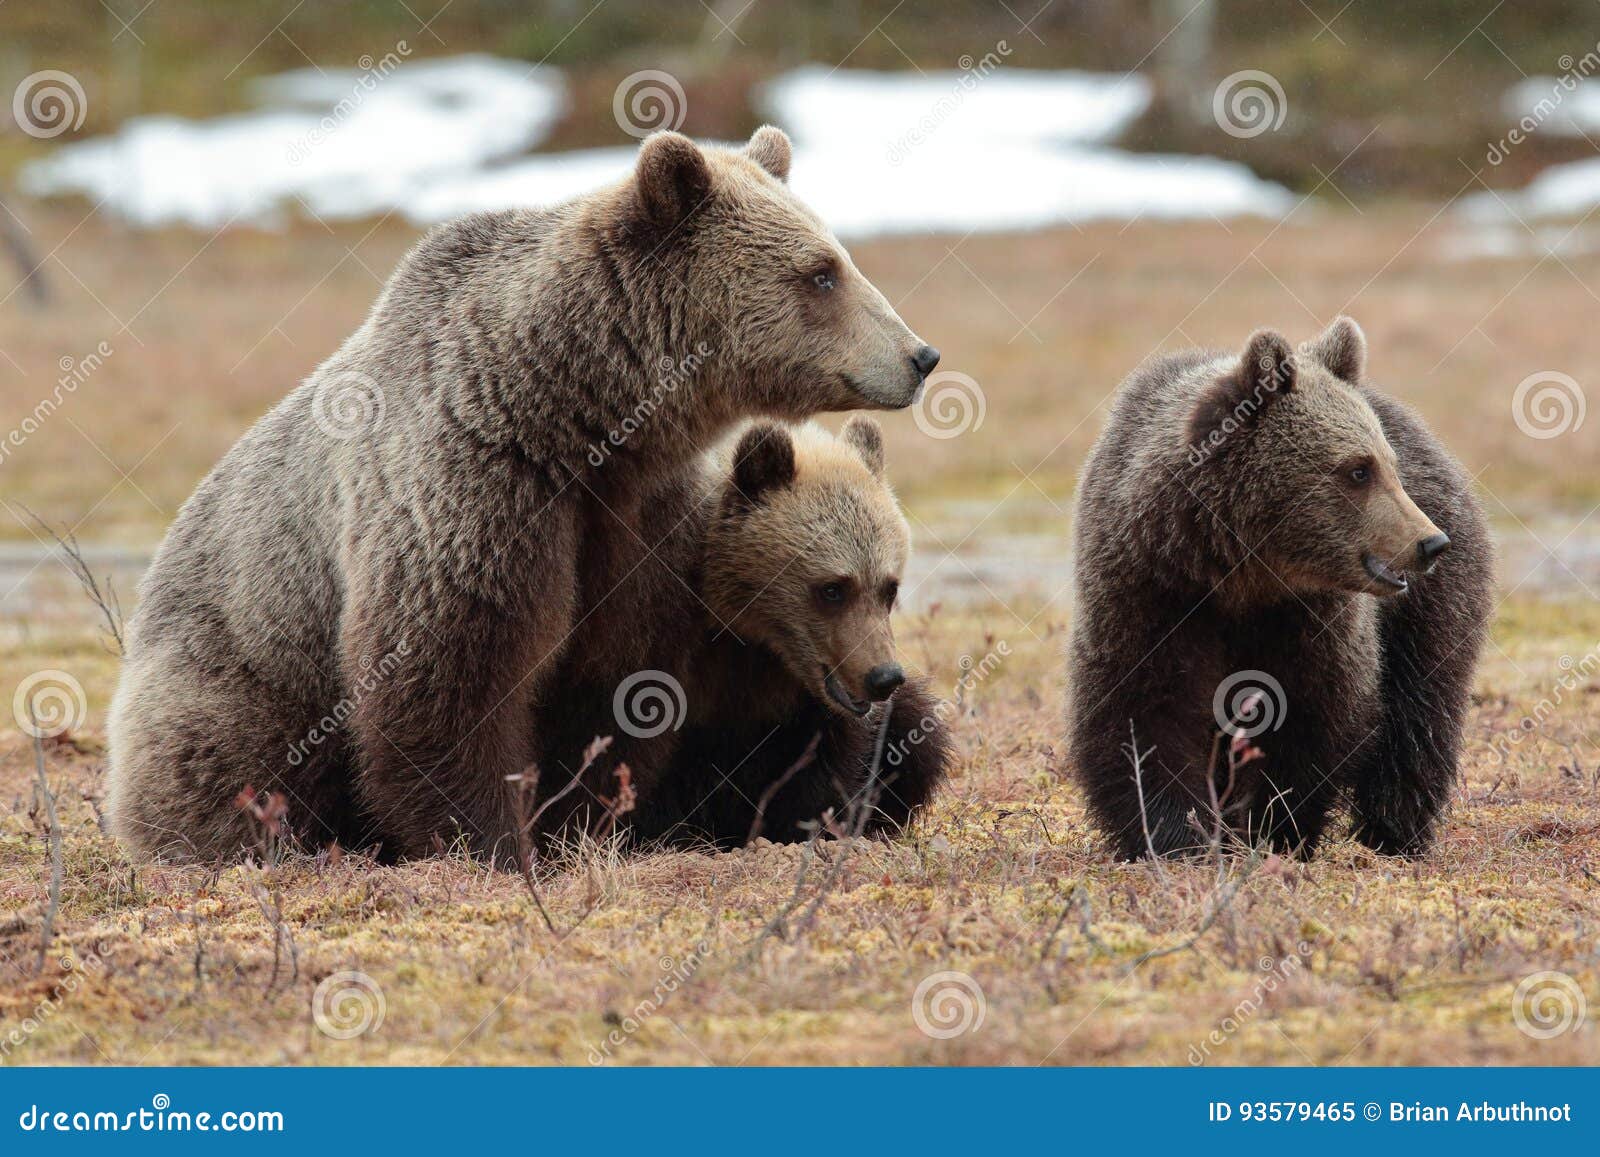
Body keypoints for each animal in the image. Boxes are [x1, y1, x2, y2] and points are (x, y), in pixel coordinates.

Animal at [526, 417, 951, 852]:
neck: (738, 621)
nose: (883, 677)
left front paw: (808, 825)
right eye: (833, 588)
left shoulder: (792, 693)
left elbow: (828, 755)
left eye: (889, 587)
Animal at [1066, 317, 1493, 860]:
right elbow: (1144, 710)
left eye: (1386, 465)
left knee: (1420, 713)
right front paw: (1175, 838)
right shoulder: (1151, 591)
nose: (1430, 542)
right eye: (1358, 469)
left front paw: (1271, 831)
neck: (1240, 575)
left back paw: (1392, 834)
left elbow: (1311, 713)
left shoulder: (1310, 615)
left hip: (1430, 608)